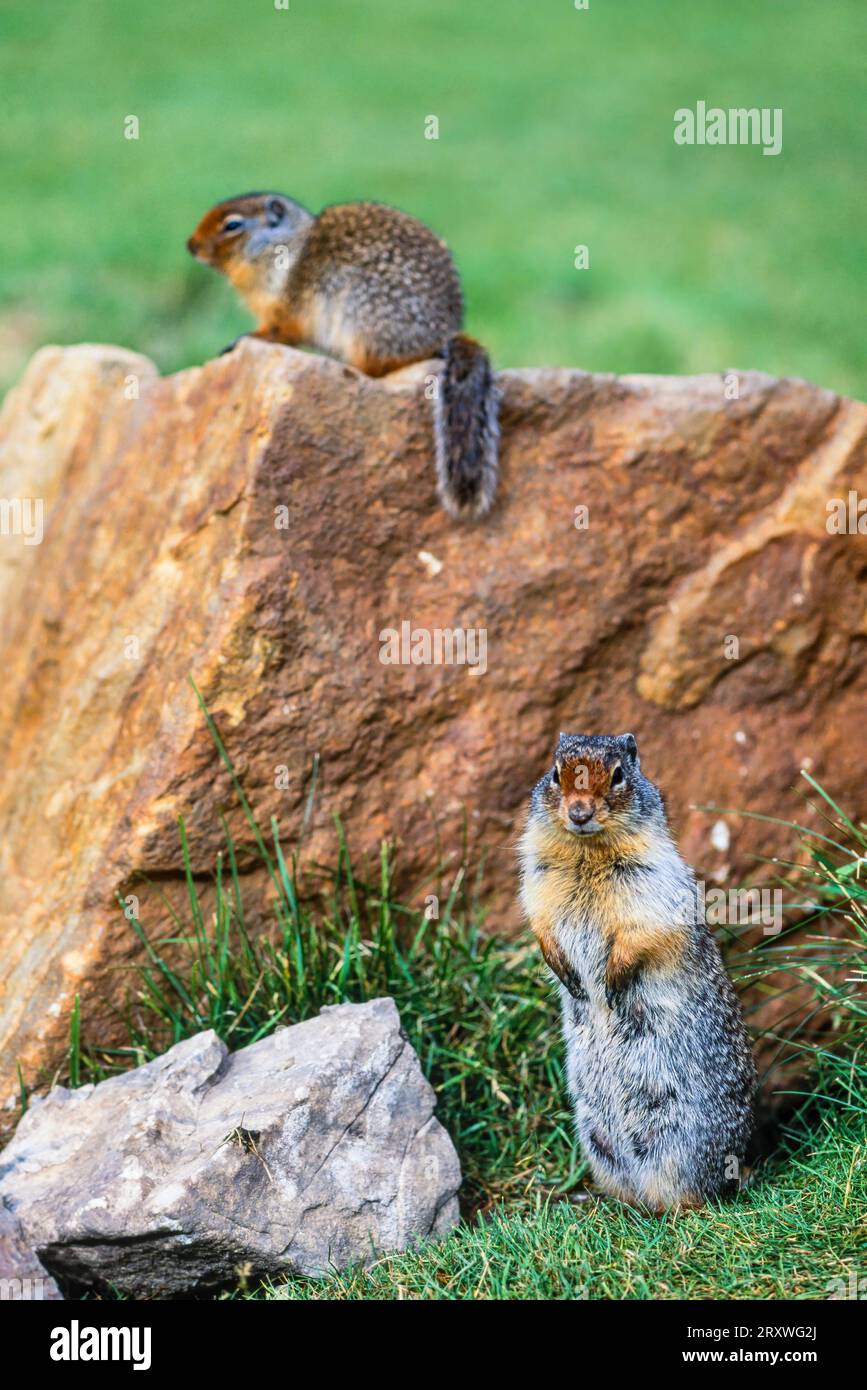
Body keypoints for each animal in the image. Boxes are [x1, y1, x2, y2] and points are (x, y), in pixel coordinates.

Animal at [186, 192, 499, 520]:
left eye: (232, 225)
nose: (190, 245)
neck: (285, 246)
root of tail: (445, 336)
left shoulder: (284, 308)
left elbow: (278, 330)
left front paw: (245, 338)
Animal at [518, 732, 756, 1211]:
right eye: (555, 773)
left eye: (618, 775)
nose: (579, 812)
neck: (587, 854)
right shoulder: (537, 877)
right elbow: (541, 923)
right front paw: (570, 977)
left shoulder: (651, 885)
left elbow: (641, 934)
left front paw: (610, 985)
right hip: (596, 1136)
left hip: (678, 1140)